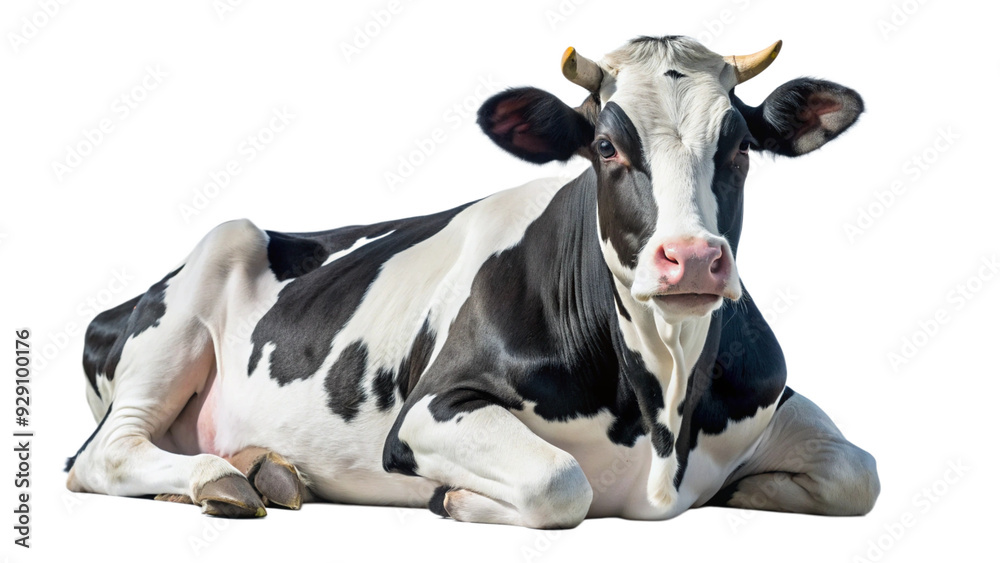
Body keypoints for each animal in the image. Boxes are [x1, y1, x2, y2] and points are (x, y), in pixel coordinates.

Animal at [66, 35, 879, 528]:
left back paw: (265, 468)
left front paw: (745, 489)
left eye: (738, 145)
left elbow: (860, 471)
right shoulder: (431, 409)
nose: (693, 258)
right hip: (193, 291)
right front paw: (456, 499)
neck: (663, 397)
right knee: (101, 455)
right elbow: (561, 481)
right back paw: (219, 479)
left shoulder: (769, 398)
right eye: (606, 145)